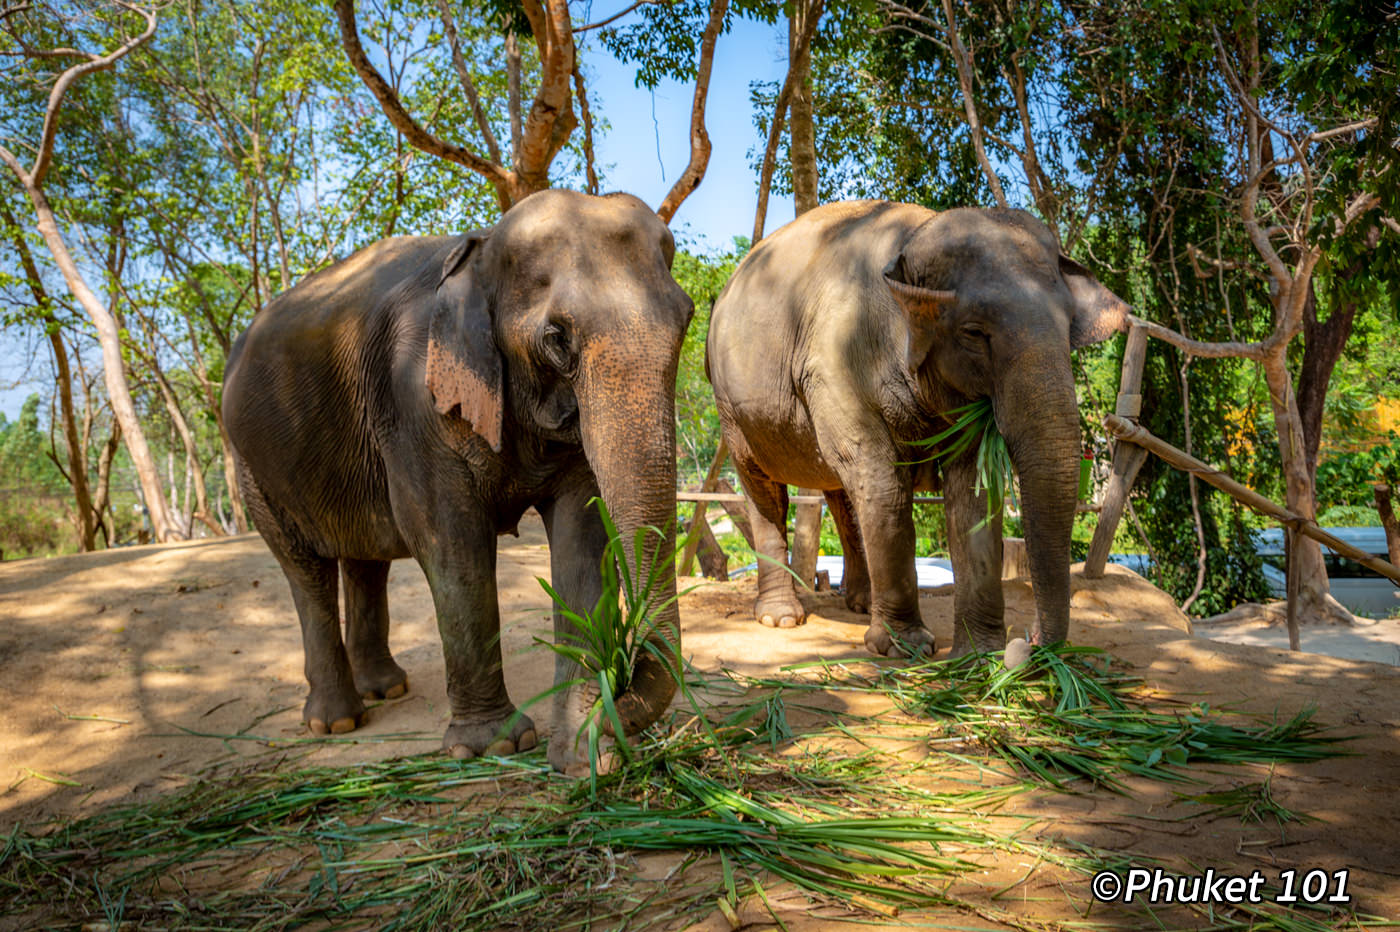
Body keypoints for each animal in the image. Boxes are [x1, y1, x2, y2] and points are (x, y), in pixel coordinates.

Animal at [222, 189, 693, 773]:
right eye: (557, 338)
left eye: (688, 320)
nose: (619, 696)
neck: (482, 248)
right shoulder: (411, 399)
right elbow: (450, 542)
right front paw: (496, 745)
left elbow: (582, 539)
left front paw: (585, 755)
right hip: (252, 468)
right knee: (305, 569)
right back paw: (337, 722)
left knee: (364, 559)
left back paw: (385, 689)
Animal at [705, 200, 1127, 658]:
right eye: (974, 332)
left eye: (1069, 327)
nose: (1029, 643)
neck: (915, 235)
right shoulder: (833, 365)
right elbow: (882, 484)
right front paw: (904, 647)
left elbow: (971, 493)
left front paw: (978, 654)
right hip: (732, 408)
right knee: (765, 489)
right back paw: (780, 617)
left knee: (841, 492)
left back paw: (859, 604)